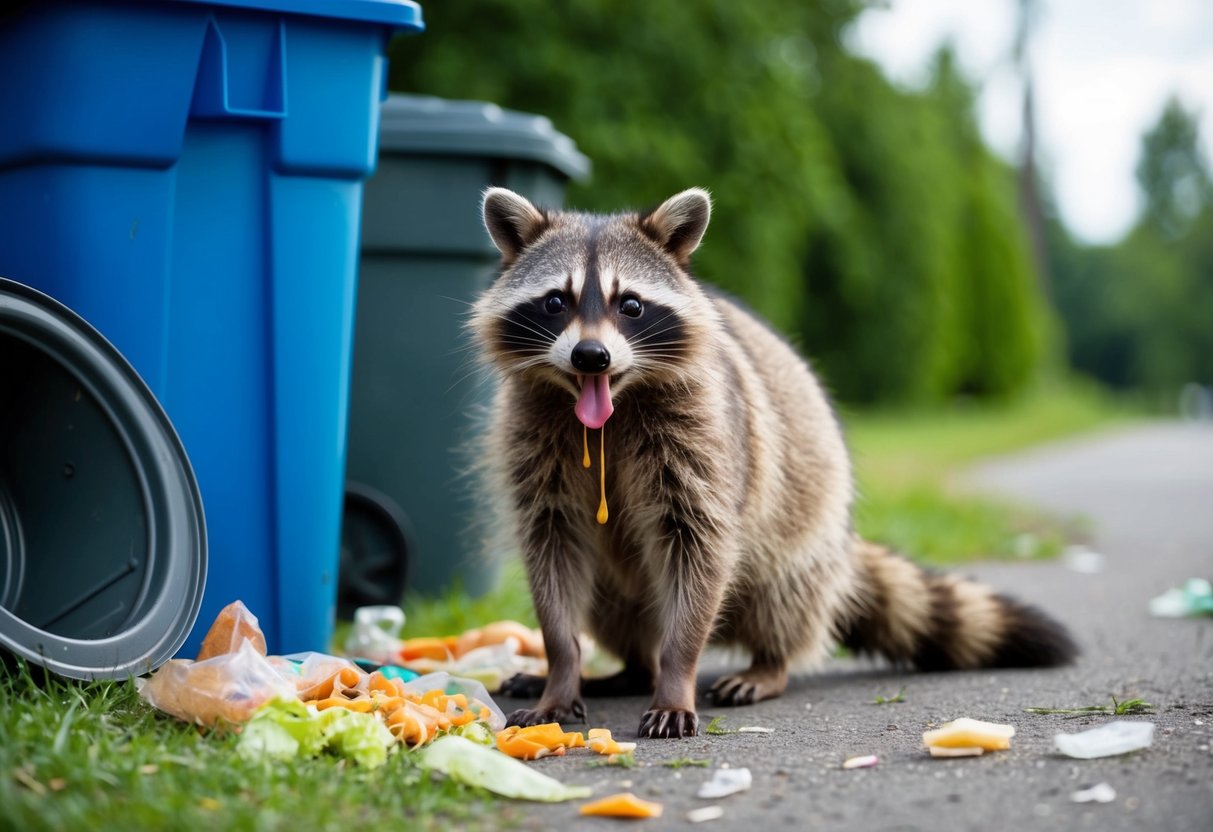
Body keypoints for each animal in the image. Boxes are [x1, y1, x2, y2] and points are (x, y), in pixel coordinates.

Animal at [469, 187, 1076, 739]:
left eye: (632, 305)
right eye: (555, 302)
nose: (591, 356)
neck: (609, 405)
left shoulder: (709, 439)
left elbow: (700, 548)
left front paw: (676, 674)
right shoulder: (533, 441)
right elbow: (553, 550)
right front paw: (561, 671)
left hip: (802, 532)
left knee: (780, 596)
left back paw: (765, 663)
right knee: (608, 604)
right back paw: (627, 670)